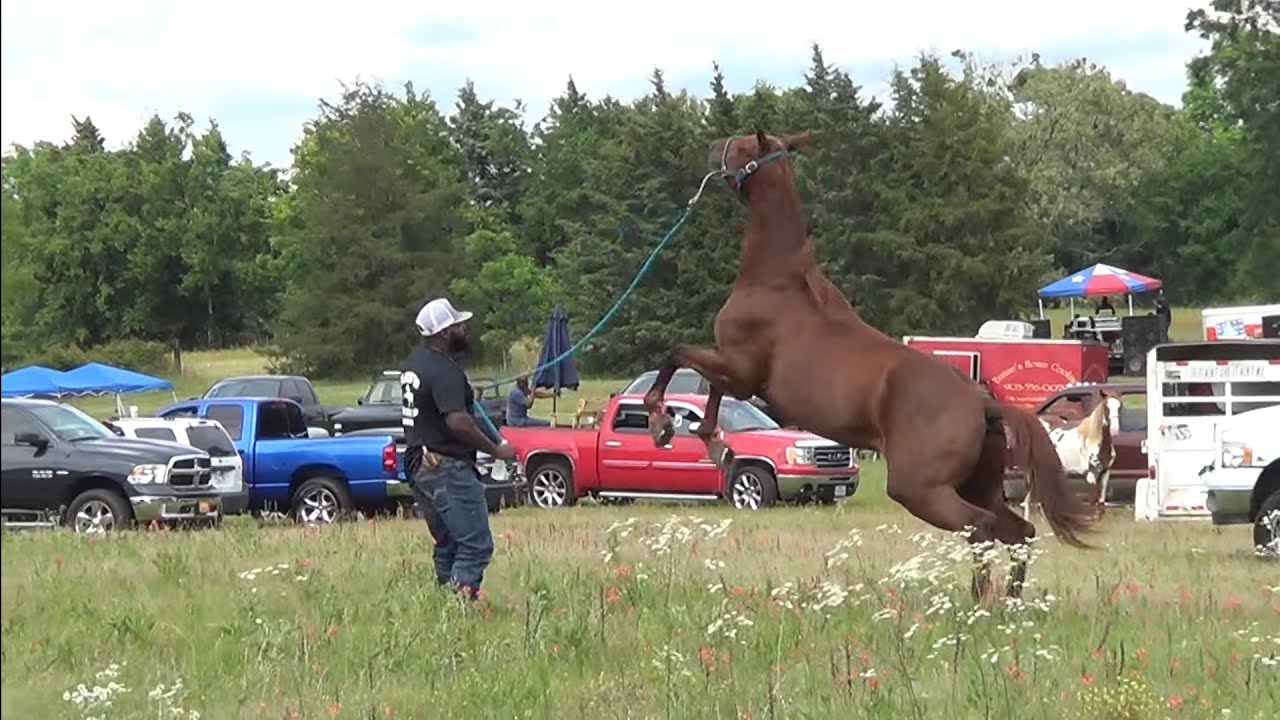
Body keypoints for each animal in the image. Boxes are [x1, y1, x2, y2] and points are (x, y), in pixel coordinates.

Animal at [641, 129, 1099, 600]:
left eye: (744, 147)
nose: (713, 148)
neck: (777, 282)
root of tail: (983, 404)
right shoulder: (740, 374)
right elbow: (707, 385)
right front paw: (710, 439)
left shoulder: (742, 370)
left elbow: (680, 357)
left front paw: (664, 423)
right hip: (978, 485)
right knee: (1019, 531)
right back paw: (1007, 604)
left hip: (920, 489)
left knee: (982, 528)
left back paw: (978, 603)